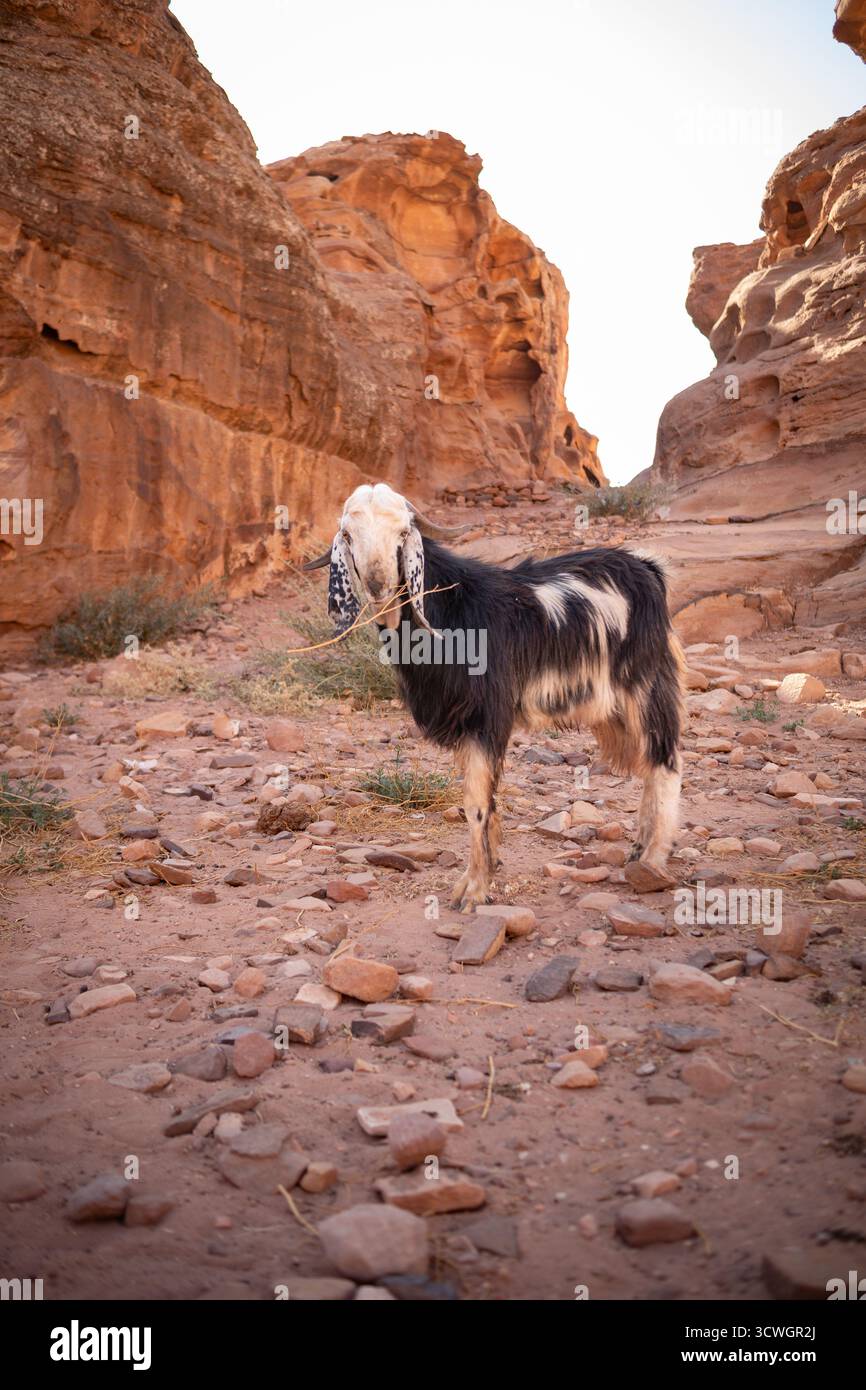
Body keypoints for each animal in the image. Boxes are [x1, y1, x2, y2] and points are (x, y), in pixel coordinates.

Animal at [304, 482, 685, 911]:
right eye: (348, 535)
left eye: (403, 532)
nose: (378, 583)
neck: (450, 611)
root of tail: (647, 567)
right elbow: (487, 799)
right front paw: (485, 870)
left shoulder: (486, 717)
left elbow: (475, 804)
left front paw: (473, 890)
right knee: (648, 763)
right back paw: (639, 849)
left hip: (646, 685)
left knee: (665, 762)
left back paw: (653, 858)